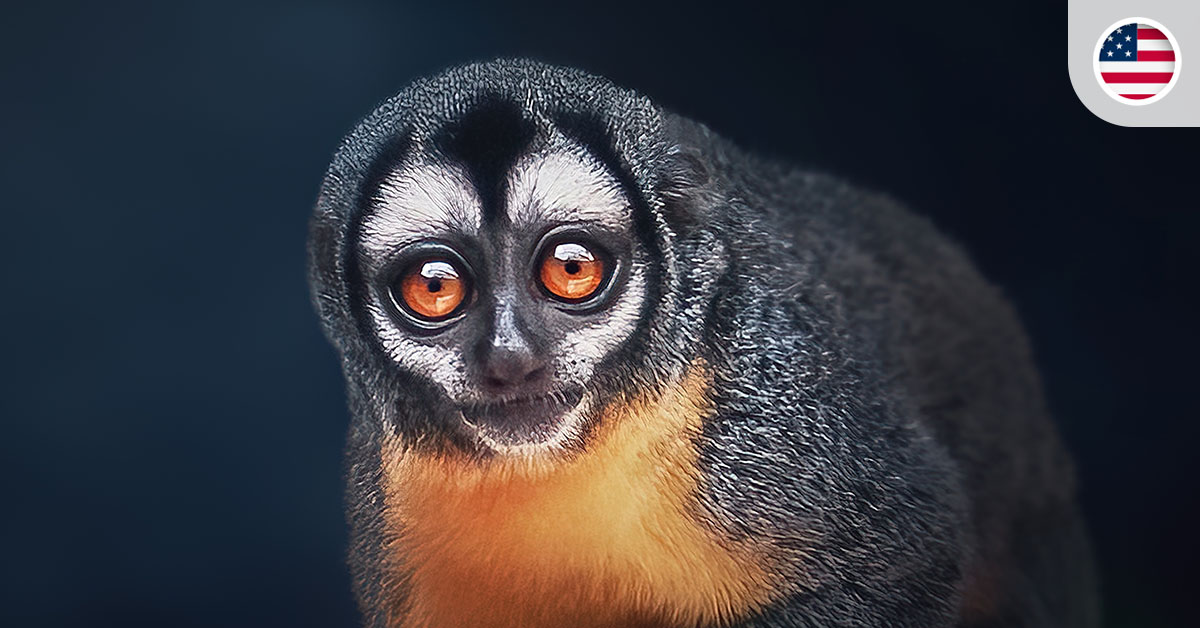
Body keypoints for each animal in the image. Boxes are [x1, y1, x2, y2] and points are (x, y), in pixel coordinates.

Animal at [308, 59, 1099, 628]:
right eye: (435, 286)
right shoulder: (393, 514)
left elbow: (909, 553)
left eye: (571, 269)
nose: (510, 358)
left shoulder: (772, 415)